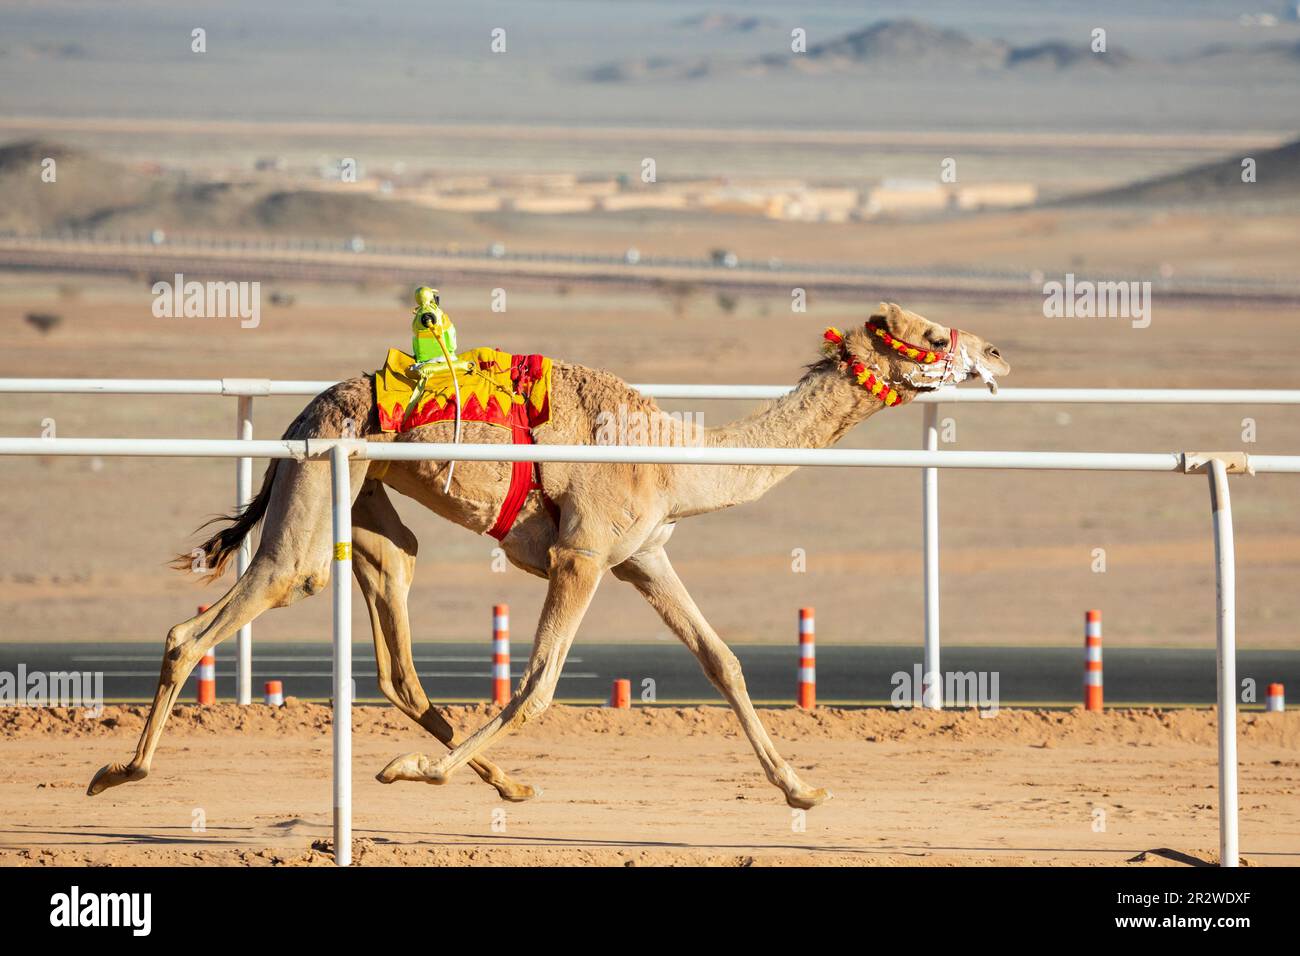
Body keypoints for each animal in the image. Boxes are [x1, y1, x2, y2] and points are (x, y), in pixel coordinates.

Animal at [86, 302, 1009, 810]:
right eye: (932, 335)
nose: (998, 352)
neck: (673, 457)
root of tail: (297, 417)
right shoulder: (583, 554)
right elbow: (534, 686)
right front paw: (417, 775)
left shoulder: (644, 557)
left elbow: (725, 662)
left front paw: (804, 789)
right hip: (315, 491)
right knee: (215, 618)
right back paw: (117, 774)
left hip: (367, 500)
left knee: (398, 644)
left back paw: (501, 781)